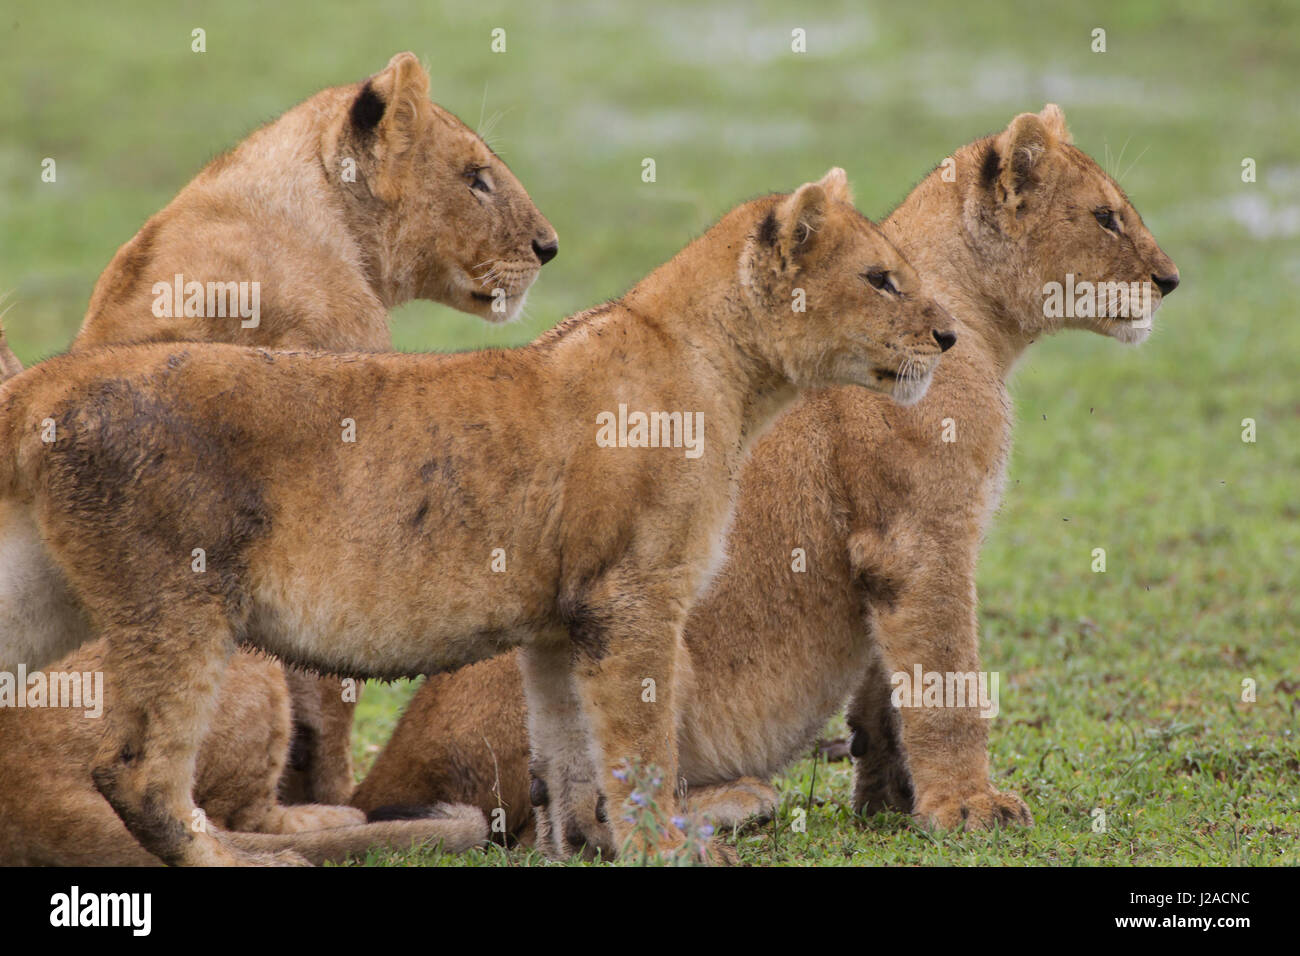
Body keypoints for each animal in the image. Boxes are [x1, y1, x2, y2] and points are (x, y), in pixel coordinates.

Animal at [0, 169, 954, 865]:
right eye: (881, 279)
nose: (948, 336)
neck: (726, 371)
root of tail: (42, 380)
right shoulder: (633, 601)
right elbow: (638, 753)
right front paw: (662, 849)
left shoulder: (563, 625)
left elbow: (570, 766)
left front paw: (581, 852)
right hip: (179, 604)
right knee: (139, 776)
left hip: (38, 605)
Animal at [350, 105, 1181, 839]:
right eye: (1107, 218)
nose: (1171, 280)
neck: (974, 320)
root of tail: (383, 776)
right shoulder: (922, 538)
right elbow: (947, 681)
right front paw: (970, 809)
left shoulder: (888, 554)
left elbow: (886, 691)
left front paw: (891, 805)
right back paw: (734, 799)